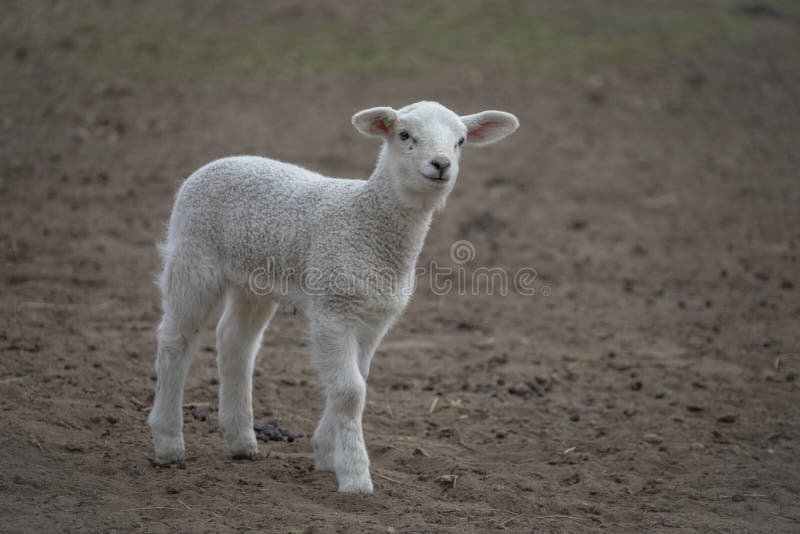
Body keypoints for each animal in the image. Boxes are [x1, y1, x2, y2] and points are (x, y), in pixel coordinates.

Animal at [147, 101, 519, 493]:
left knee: (236, 342)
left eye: (461, 141)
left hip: (254, 279)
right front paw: (355, 475)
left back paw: (241, 441)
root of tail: (217, 162)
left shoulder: (375, 317)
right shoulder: (332, 308)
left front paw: (327, 455)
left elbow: (357, 380)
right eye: (404, 135)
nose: (441, 164)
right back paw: (169, 442)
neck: (367, 221)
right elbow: (350, 391)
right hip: (192, 258)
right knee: (176, 341)